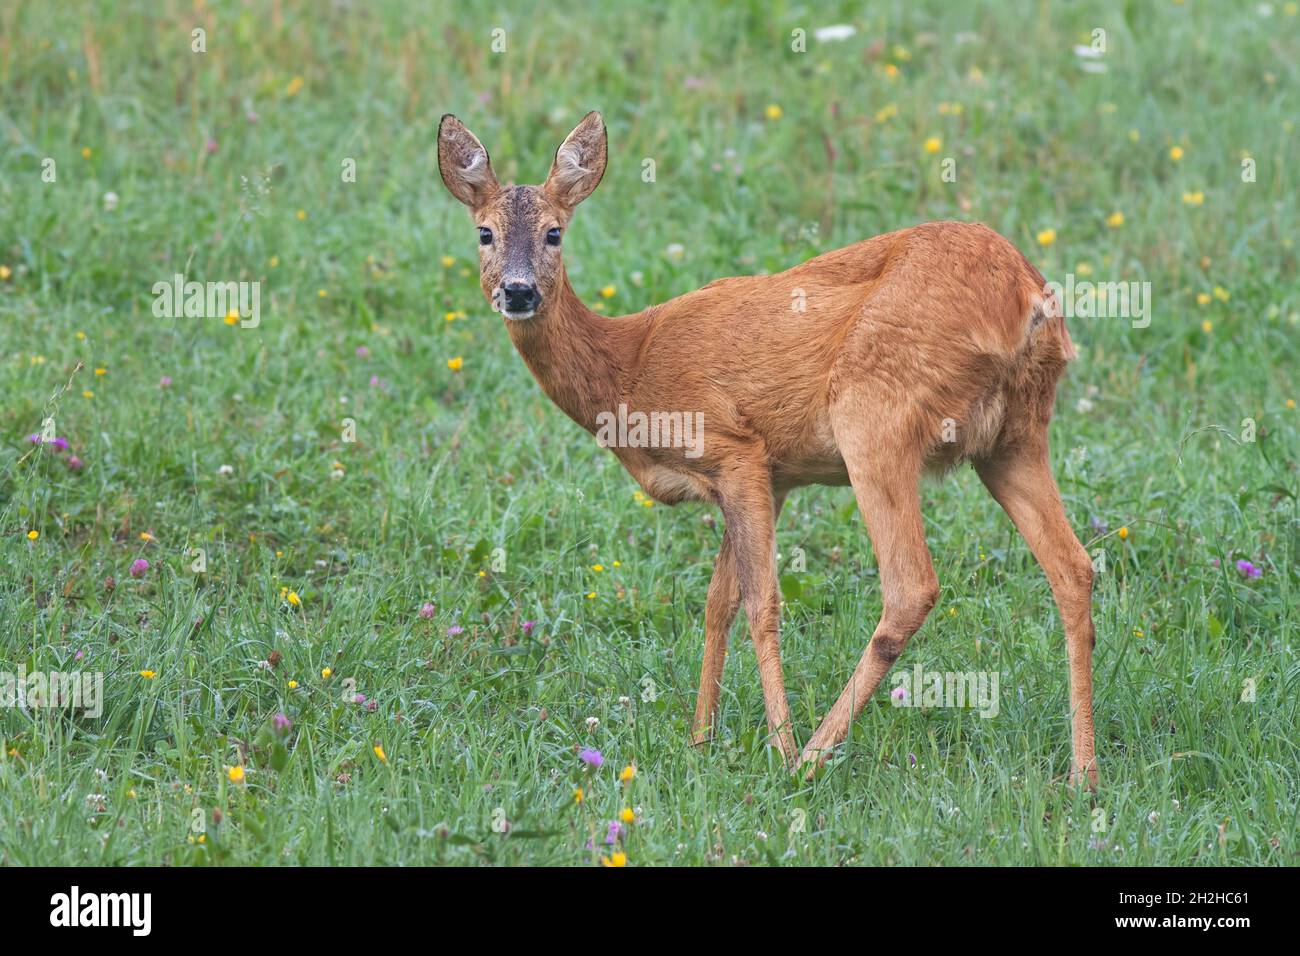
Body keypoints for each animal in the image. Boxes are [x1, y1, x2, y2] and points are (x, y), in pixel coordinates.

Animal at [437, 111, 1098, 788]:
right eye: (484, 232)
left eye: (554, 233)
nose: (518, 292)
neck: (629, 366)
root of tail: (1028, 296)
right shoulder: (768, 476)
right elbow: (717, 602)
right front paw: (699, 740)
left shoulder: (737, 449)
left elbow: (760, 601)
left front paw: (775, 745)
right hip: (1015, 435)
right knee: (1072, 567)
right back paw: (1083, 774)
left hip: (874, 415)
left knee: (912, 586)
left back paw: (808, 759)